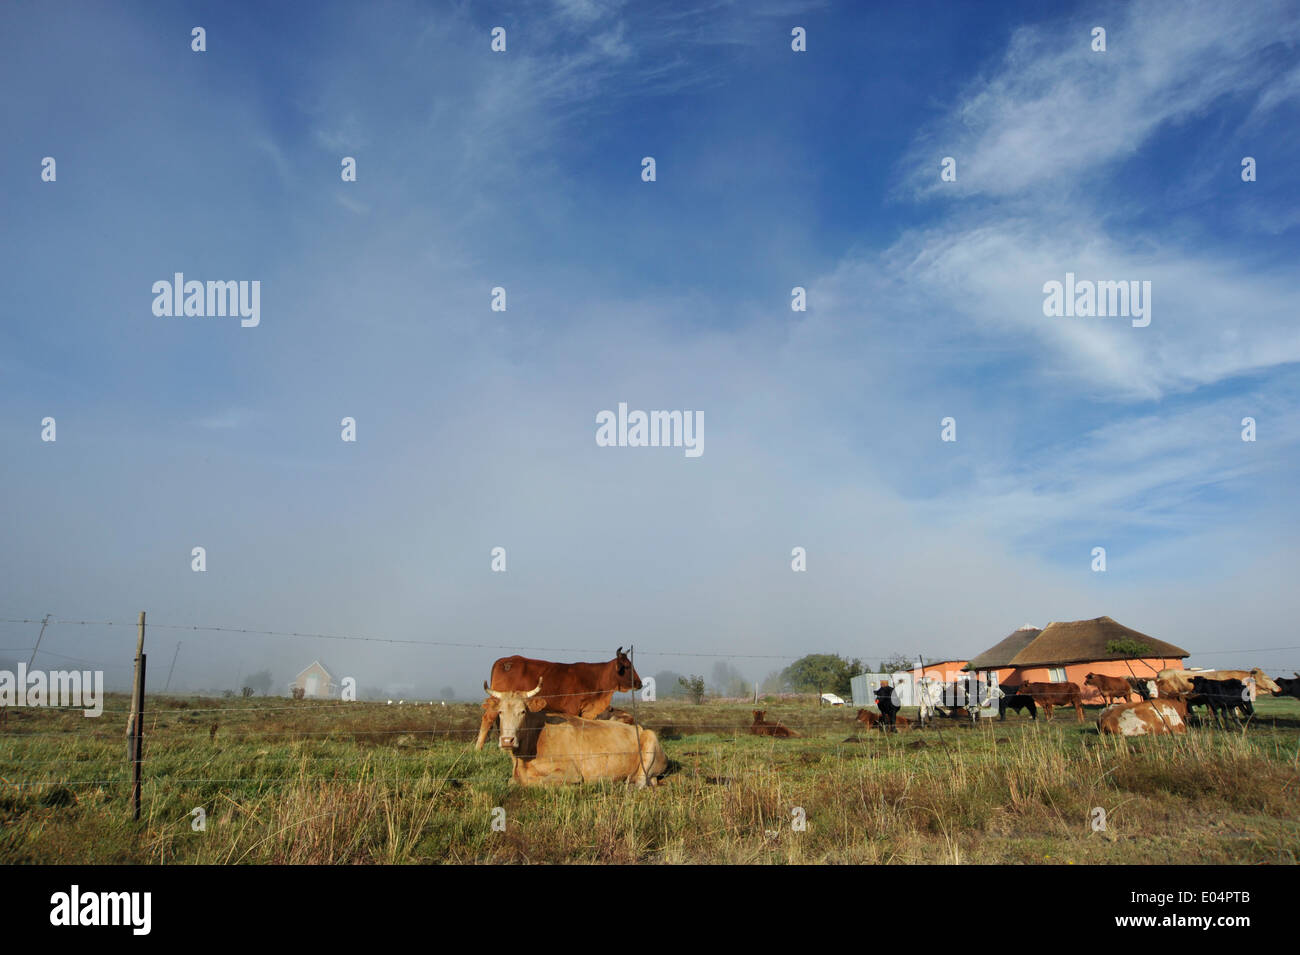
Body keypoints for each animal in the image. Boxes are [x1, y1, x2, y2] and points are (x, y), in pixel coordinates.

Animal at [475, 647, 643, 750]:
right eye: (627, 667)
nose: (640, 683)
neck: (595, 678)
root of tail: (505, 660)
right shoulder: (572, 709)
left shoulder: (586, 711)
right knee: (487, 719)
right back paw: (478, 748)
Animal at [484, 679, 667, 787]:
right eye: (500, 712)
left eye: (523, 711)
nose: (507, 740)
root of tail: (639, 727)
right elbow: (512, 781)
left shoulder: (571, 771)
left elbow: (540, 782)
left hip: (650, 739)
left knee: (643, 780)